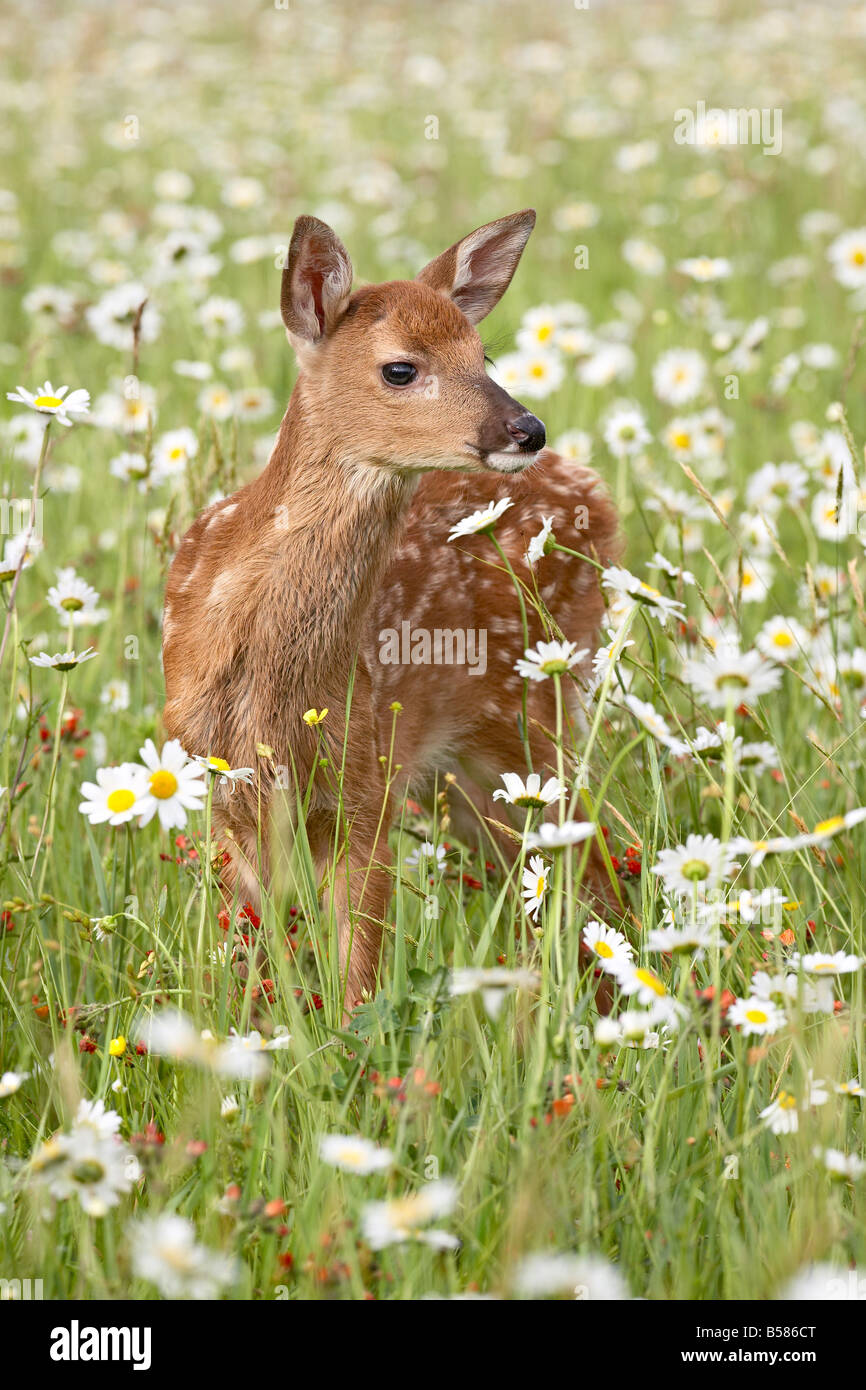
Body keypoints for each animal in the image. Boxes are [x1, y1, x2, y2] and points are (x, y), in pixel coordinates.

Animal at [161, 209, 620, 1015]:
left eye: (482, 351)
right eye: (401, 368)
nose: (527, 430)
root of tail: (597, 492)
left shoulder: (366, 785)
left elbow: (359, 975)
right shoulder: (218, 793)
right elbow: (249, 960)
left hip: (535, 715)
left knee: (597, 860)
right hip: (470, 775)